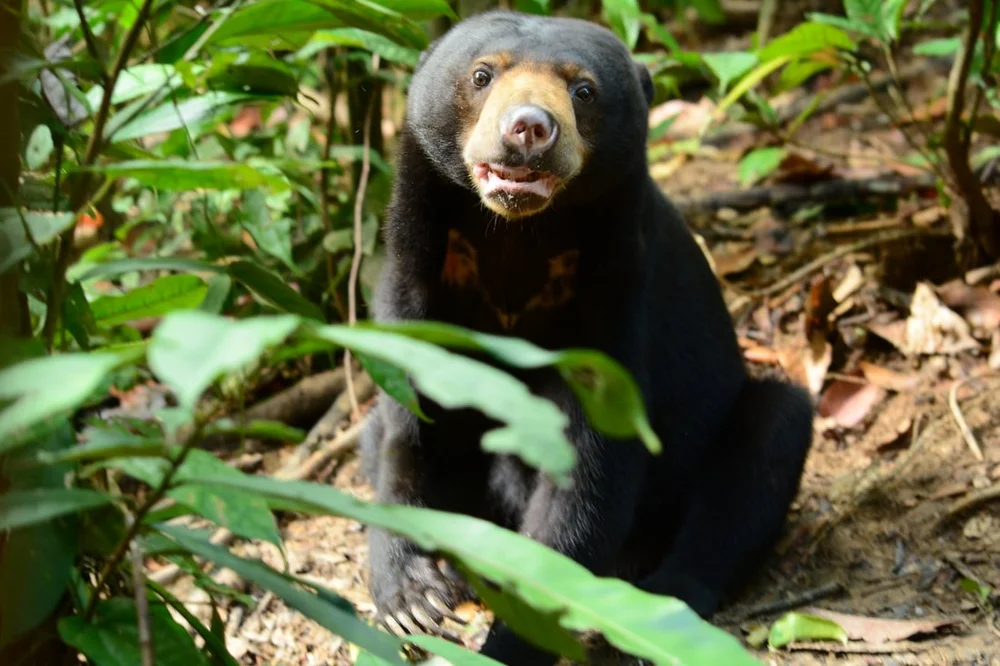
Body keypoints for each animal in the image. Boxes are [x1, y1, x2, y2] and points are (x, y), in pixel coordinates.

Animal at [359, 9, 815, 665]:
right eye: (482, 75)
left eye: (583, 90)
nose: (528, 129)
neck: (514, 237)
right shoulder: (415, 281)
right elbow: (409, 432)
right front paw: (411, 597)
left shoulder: (616, 293)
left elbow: (590, 474)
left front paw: (509, 638)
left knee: (765, 444)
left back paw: (668, 602)